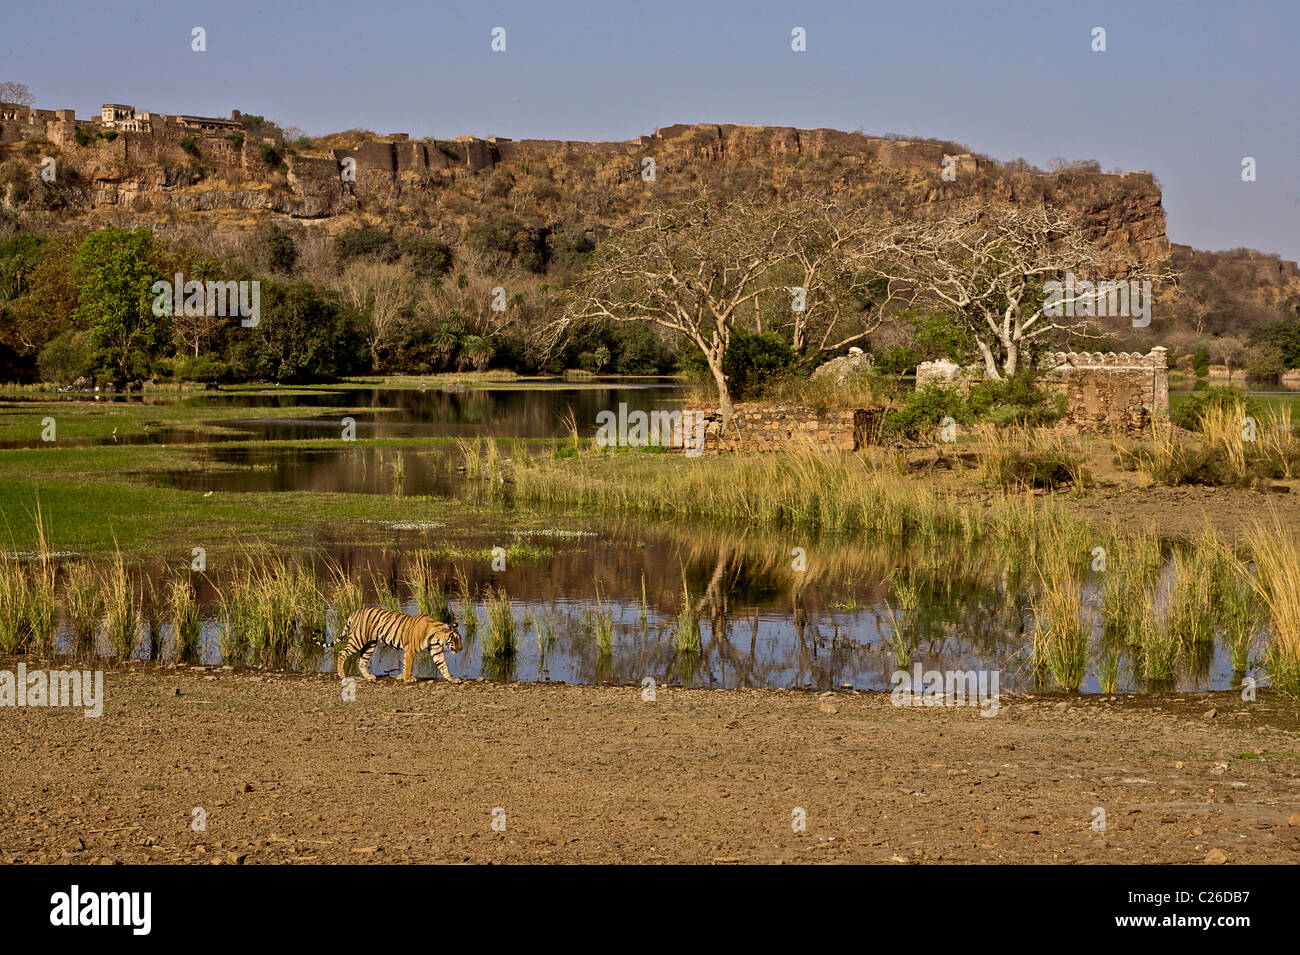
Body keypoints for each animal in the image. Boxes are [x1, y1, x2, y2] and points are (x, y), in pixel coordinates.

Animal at [334, 607, 463, 684]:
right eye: (456, 639)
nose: (461, 648)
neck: (436, 638)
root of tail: (356, 611)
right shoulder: (410, 649)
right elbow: (409, 664)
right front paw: (408, 678)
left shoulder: (436, 650)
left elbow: (443, 665)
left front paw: (452, 679)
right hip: (357, 639)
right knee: (342, 653)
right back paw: (342, 675)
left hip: (370, 645)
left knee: (361, 661)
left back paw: (369, 677)